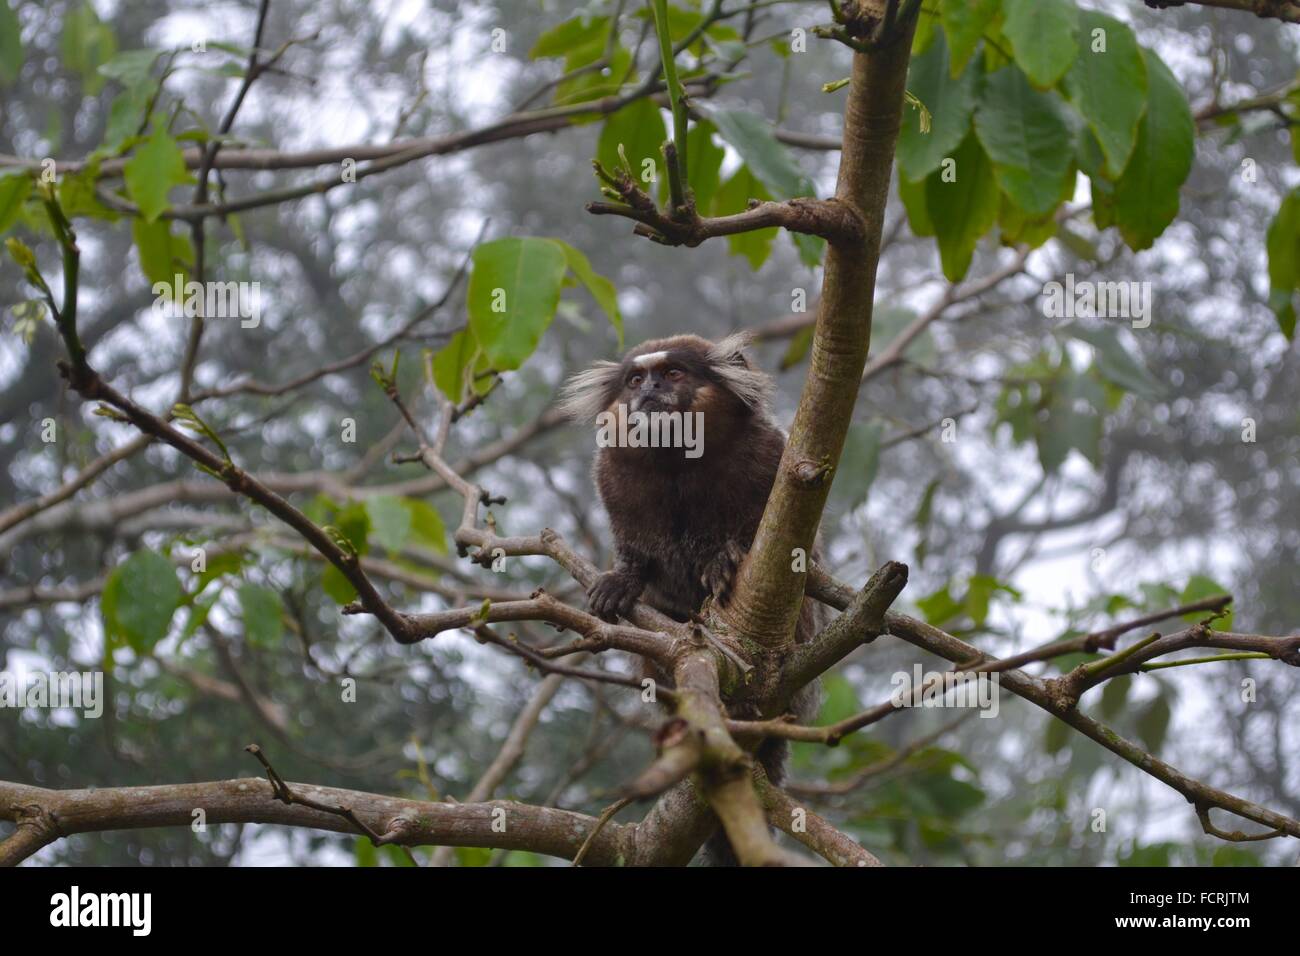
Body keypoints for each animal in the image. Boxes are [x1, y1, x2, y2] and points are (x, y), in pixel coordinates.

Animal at [559, 331, 822, 864]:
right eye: (635, 379)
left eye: (673, 374)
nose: (649, 390)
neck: (677, 460)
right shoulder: (613, 478)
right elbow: (635, 554)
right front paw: (623, 579)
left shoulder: (772, 459)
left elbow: (785, 549)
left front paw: (723, 558)